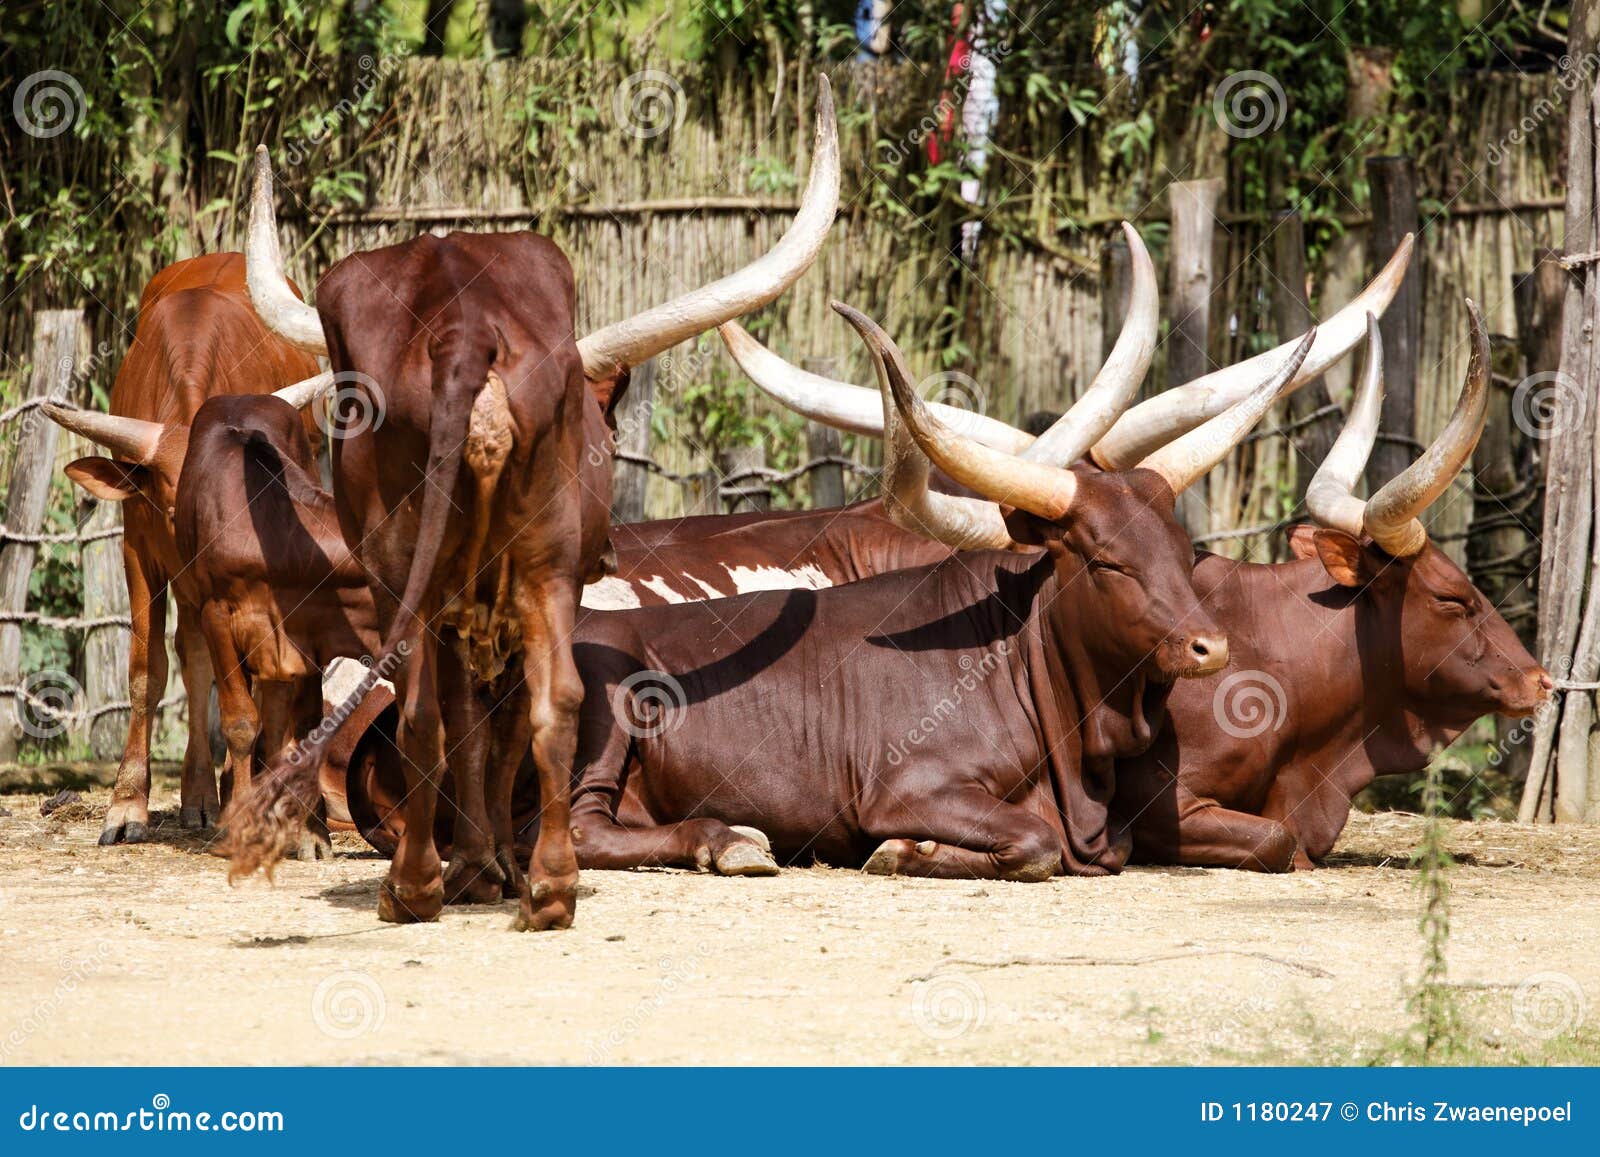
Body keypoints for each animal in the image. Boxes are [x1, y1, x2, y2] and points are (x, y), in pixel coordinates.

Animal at [60, 254, 326, 845]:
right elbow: (146, 673)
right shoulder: (139, 552)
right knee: (193, 653)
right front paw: (127, 806)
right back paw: (204, 794)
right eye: (171, 505)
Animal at [225, 82, 842, 929]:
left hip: (405, 578)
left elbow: (466, 723)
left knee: (423, 713)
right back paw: (548, 885)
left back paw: (414, 887)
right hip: (549, 570)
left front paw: (475, 865)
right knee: (552, 703)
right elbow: (499, 725)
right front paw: (497, 865)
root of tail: (465, 327)